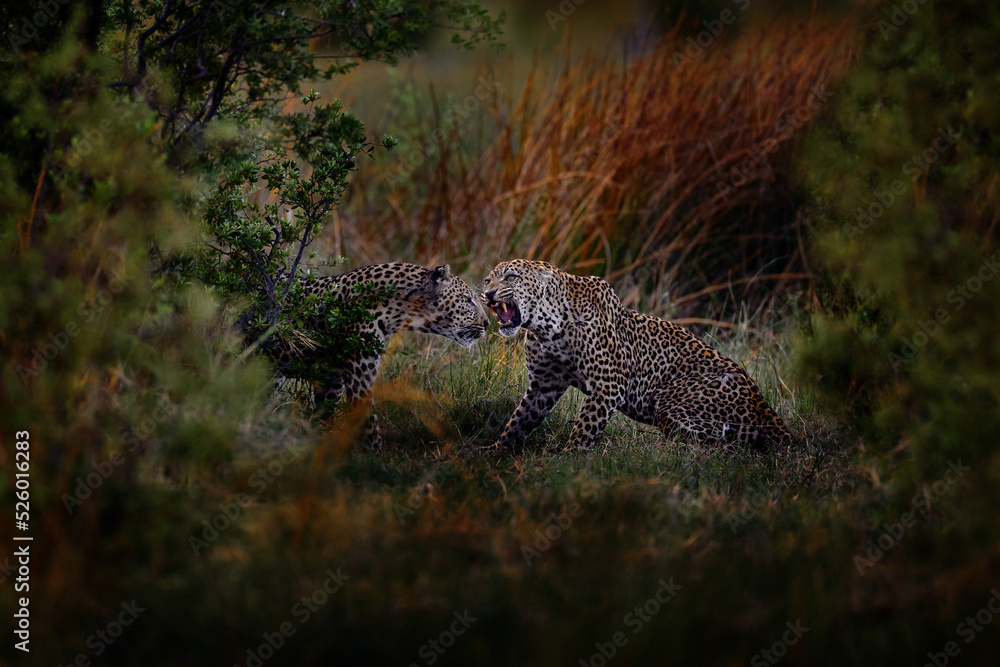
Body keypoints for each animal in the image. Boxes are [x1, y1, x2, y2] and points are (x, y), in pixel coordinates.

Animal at [265, 262, 488, 445]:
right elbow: (368, 424)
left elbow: (325, 417)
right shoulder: (359, 375)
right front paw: (373, 458)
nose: (487, 323)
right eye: (468, 300)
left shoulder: (331, 382)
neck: (397, 312)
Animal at [482, 259, 794, 451]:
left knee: (726, 441)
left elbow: (585, 426)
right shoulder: (544, 386)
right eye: (488, 279)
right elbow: (519, 420)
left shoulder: (609, 384)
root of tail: (767, 409)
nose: (487, 293)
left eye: (511, 276)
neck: (546, 327)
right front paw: (497, 451)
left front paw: (569, 457)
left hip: (673, 404)